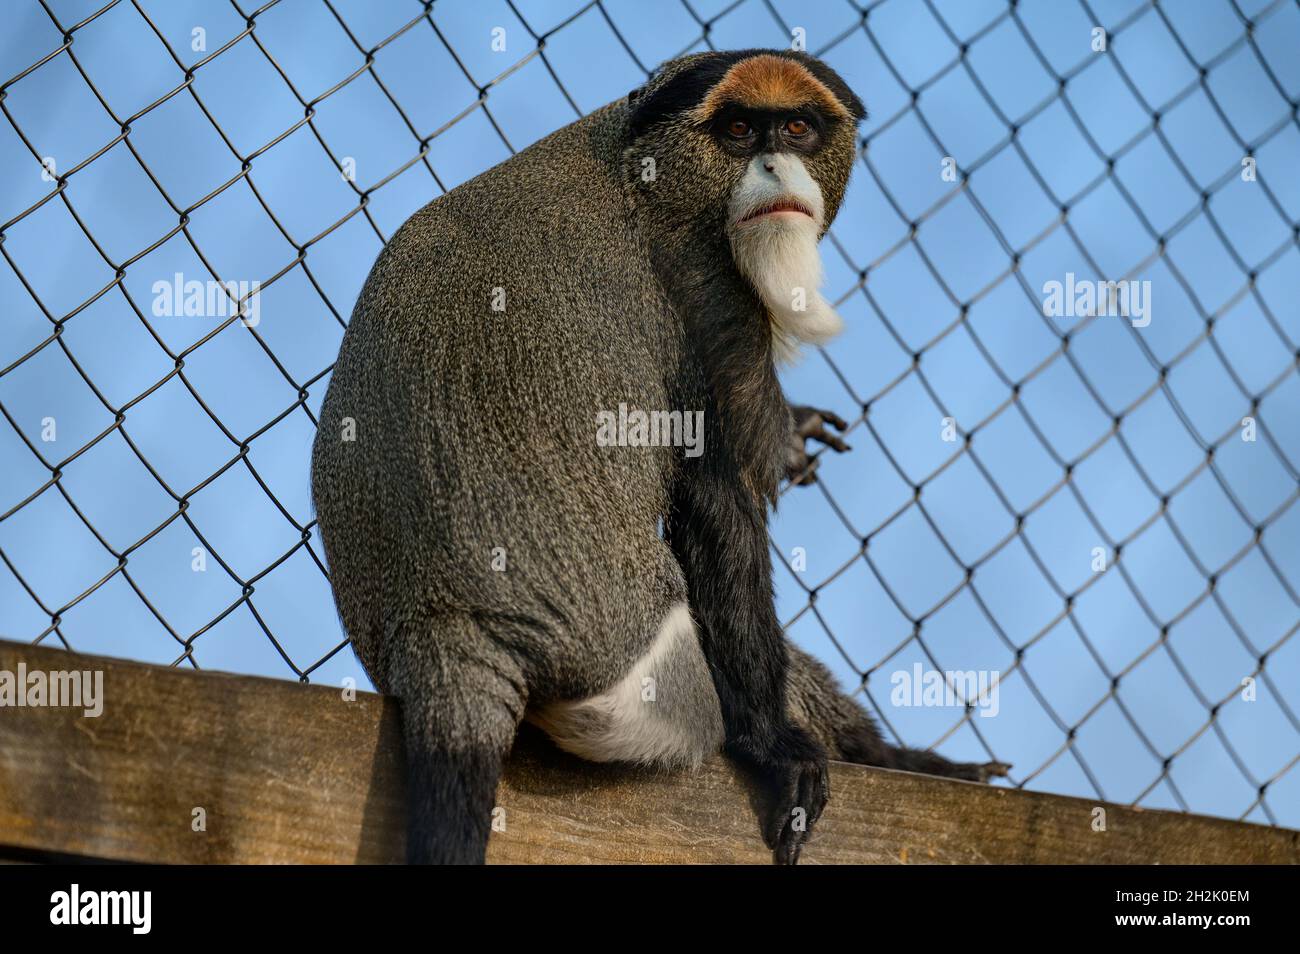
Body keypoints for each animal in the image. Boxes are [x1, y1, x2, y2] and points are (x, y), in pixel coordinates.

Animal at [311, 49, 1007, 866]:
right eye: (737, 131)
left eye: (797, 129)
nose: (775, 164)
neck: (644, 165)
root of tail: (446, 628)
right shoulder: (712, 294)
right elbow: (717, 504)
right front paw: (779, 748)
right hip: (651, 683)